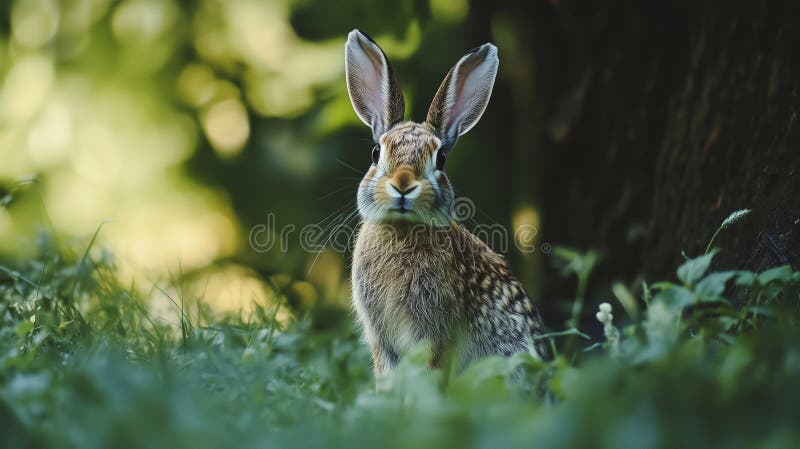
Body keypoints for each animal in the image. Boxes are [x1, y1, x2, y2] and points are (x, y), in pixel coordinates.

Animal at [345, 29, 549, 375]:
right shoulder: (382, 340)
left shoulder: (433, 333)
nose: (403, 184)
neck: (401, 229)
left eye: (440, 159)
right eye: (376, 153)